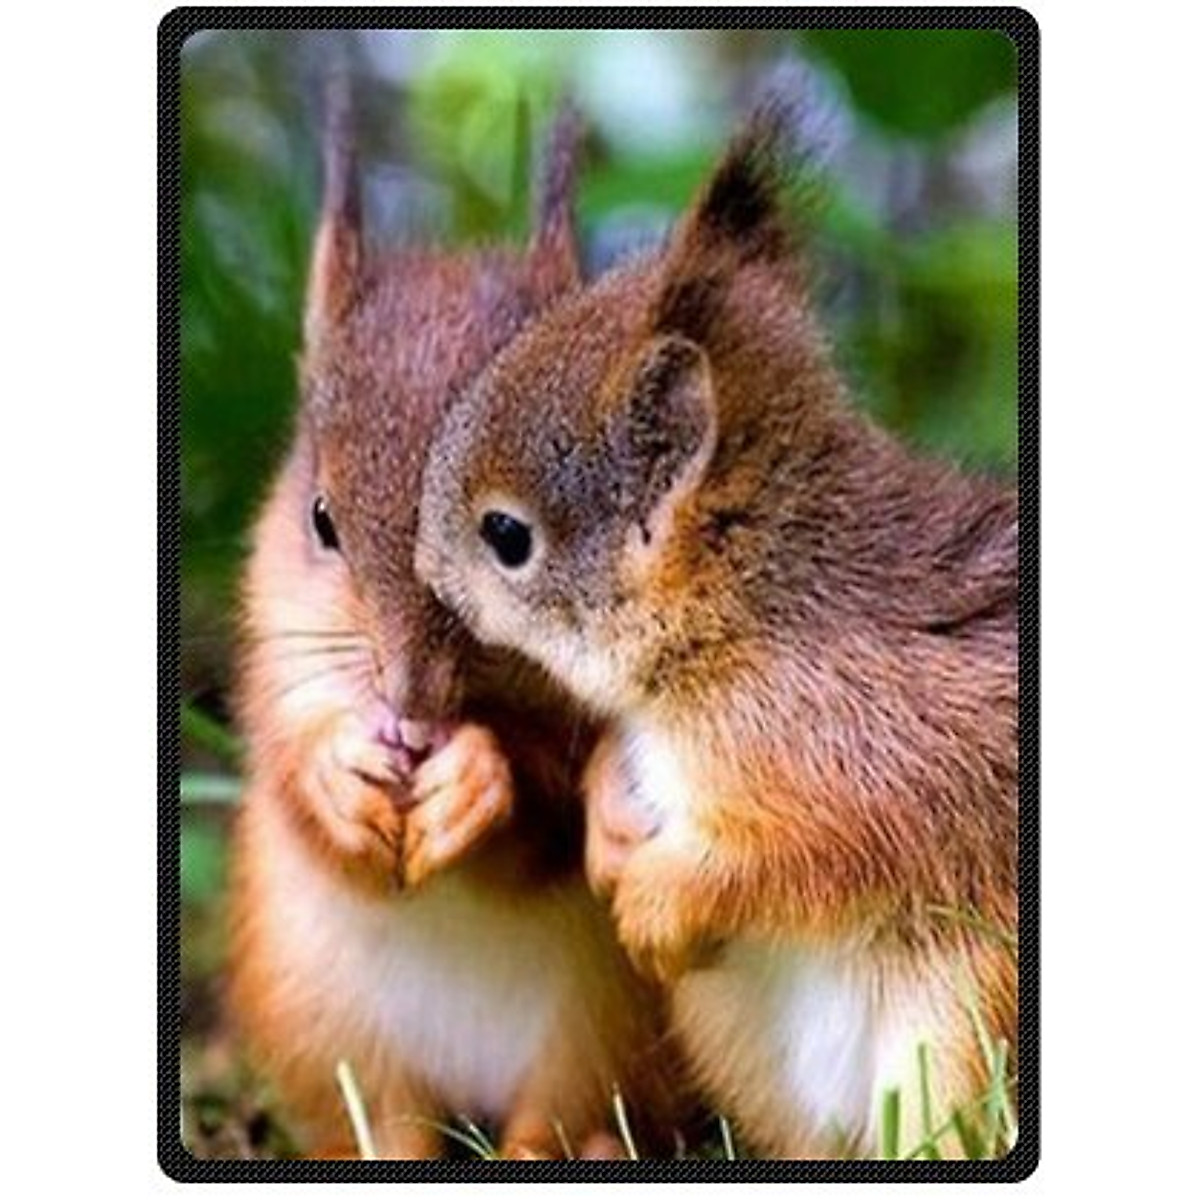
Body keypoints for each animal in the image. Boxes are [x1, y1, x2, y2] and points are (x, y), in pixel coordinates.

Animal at [227, 95, 676, 1160]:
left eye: (509, 535)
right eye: (321, 520)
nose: (411, 706)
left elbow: (558, 806)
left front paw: (478, 774)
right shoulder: (271, 644)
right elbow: (285, 765)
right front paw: (337, 771)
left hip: (601, 1028)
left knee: (557, 1119)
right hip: (323, 1018)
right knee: (385, 1122)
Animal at [415, 108, 1018, 1158]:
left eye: (506, 536)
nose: (417, 565)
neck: (747, 621)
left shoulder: (875, 754)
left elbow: (808, 859)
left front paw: (659, 900)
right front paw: (611, 830)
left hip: (968, 1018)